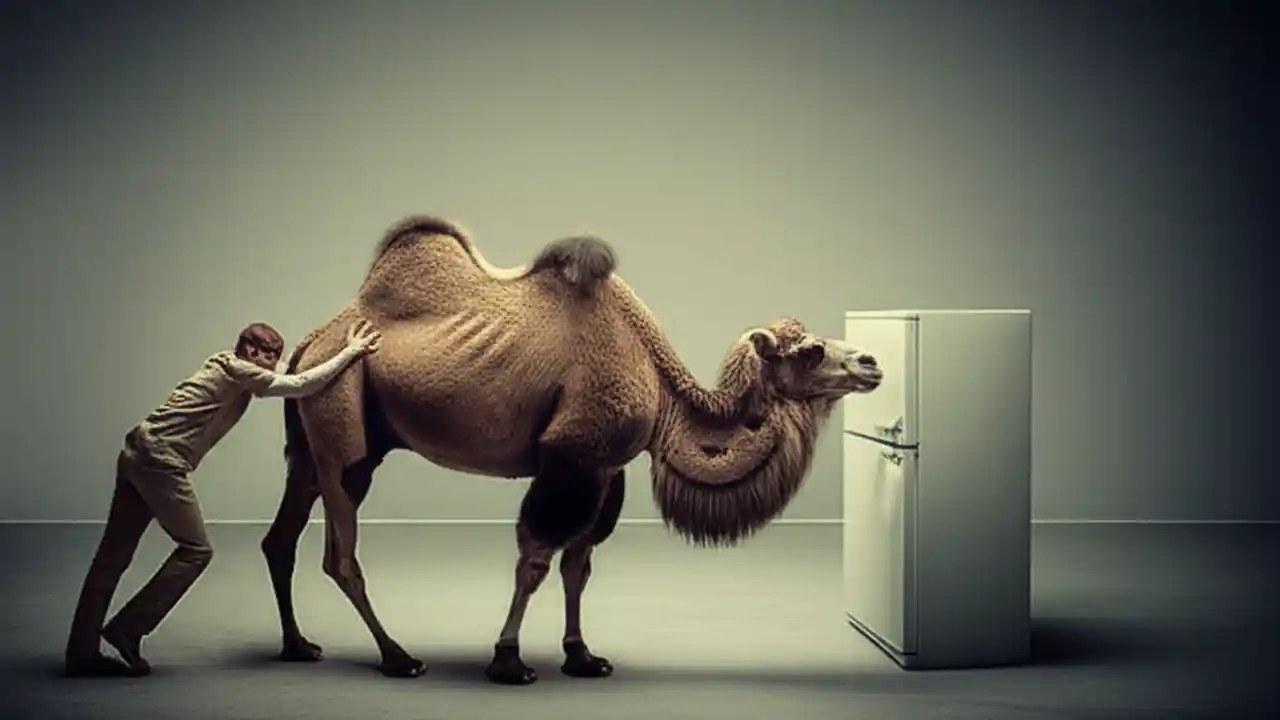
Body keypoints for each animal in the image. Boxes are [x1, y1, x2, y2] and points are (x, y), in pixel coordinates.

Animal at [258, 215, 883, 684]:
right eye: (810, 351)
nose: (871, 362)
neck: (659, 386)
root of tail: (314, 340)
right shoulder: (571, 453)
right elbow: (536, 558)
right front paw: (509, 661)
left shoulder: (607, 469)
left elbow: (578, 564)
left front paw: (582, 656)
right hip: (344, 420)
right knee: (340, 551)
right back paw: (398, 657)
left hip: (308, 436)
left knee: (280, 538)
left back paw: (298, 647)